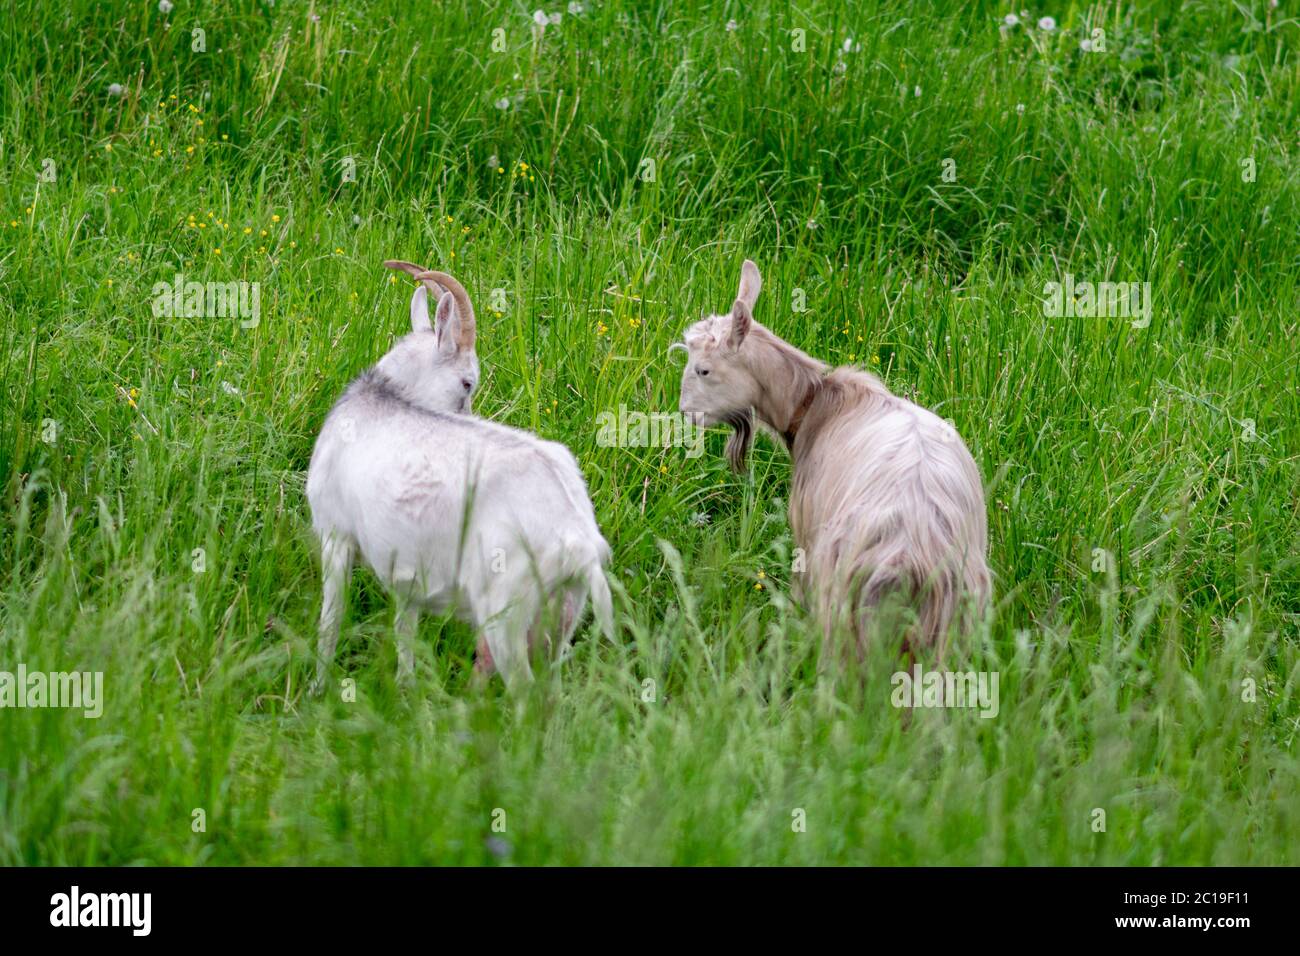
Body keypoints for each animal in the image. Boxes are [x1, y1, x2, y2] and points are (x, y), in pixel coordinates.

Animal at [305, 261, 613, 692]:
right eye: (467, 383)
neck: (378, 398)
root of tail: (578, 537)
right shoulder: (406, 572)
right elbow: (405, 629)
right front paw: (406, 687)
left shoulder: (336, 535)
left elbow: (330, 621)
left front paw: (317, 688)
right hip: (561, 614)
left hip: (506, 612)